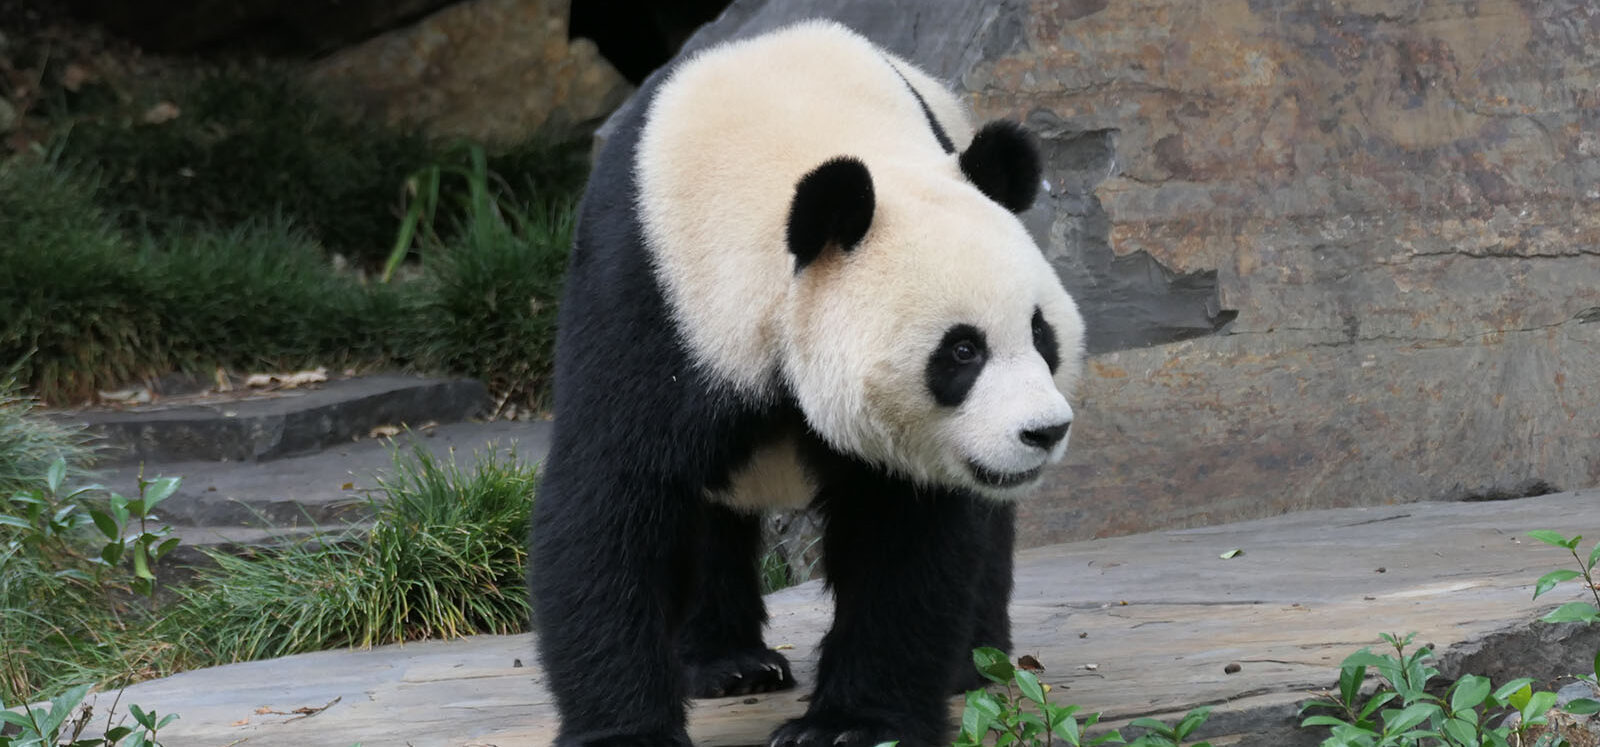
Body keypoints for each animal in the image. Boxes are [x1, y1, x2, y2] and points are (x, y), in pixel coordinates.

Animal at [529, 19, 1086, 747]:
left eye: (1041, 334)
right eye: (962, 350)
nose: (1044, 431)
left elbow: (904, 538)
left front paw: (850, 726)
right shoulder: (647, 300)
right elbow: (613, 502)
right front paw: (626, 732)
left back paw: (972, 660)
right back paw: (727, 665)